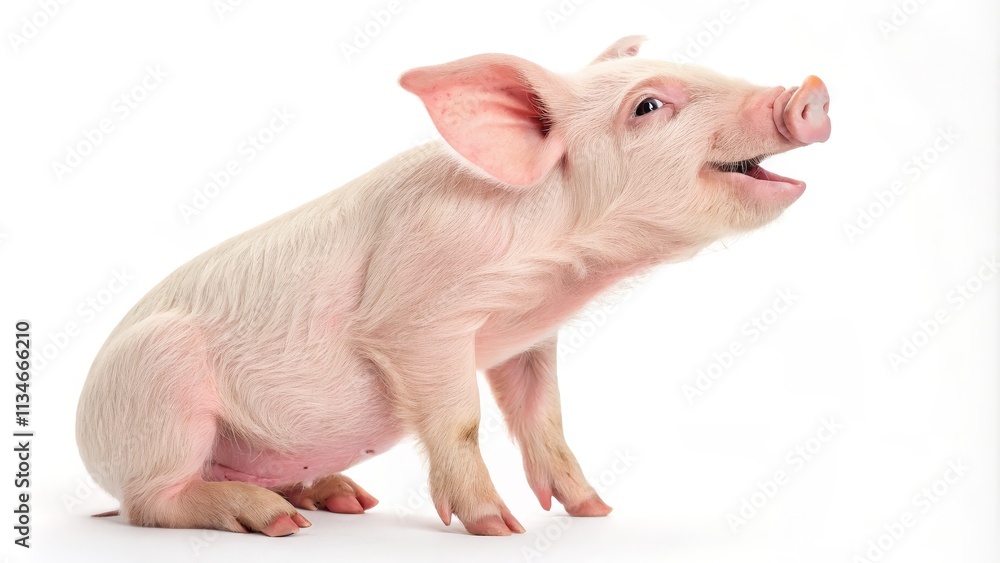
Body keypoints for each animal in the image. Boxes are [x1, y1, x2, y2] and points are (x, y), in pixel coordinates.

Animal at [76, 35, 830, 537]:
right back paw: (280, 521)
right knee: (154, 501)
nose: (809, 91)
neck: (565, 269)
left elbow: (545, 416)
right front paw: (498, 527)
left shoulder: (528, 337)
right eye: (647, 106)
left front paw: (595, 510)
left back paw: (342, 499)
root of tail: (86, 431)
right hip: (158, 393)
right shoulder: (416, 315)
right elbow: (460, 418)